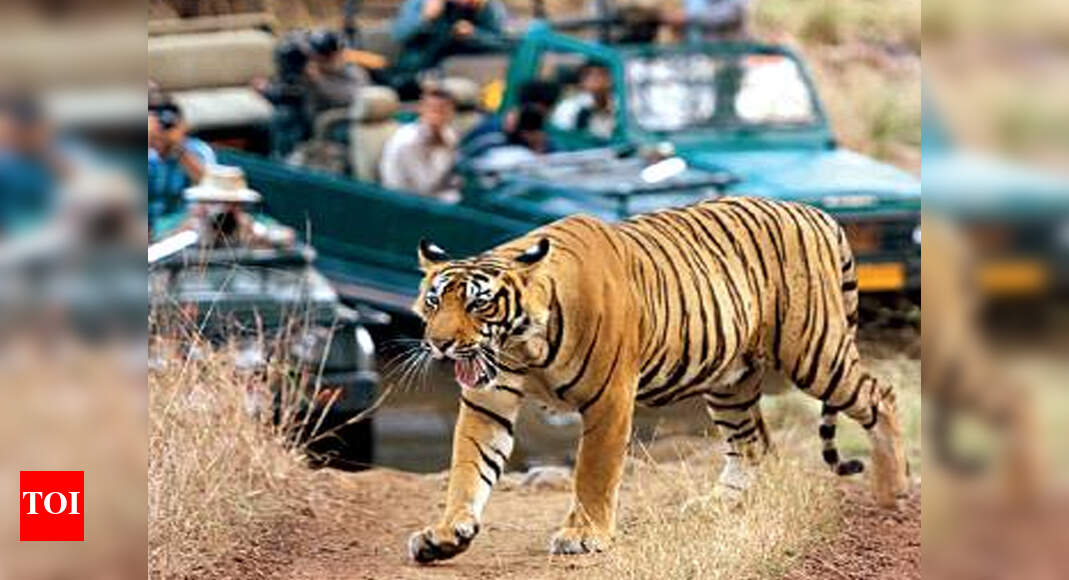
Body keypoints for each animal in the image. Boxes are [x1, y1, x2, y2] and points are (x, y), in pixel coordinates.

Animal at [406, 196, 908, 564]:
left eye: (479, 304)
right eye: (434, 302)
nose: (440, 343)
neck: (523, 345)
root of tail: (816, 212)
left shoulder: (609, 399)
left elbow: (593, 472)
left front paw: (583, 534)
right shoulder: (487, 400)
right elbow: (469, 467)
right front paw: (446, 534)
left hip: (815, 352)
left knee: (881, 396)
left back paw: (893, 492)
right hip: (731, 380)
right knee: (752, 443)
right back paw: (716, 505)